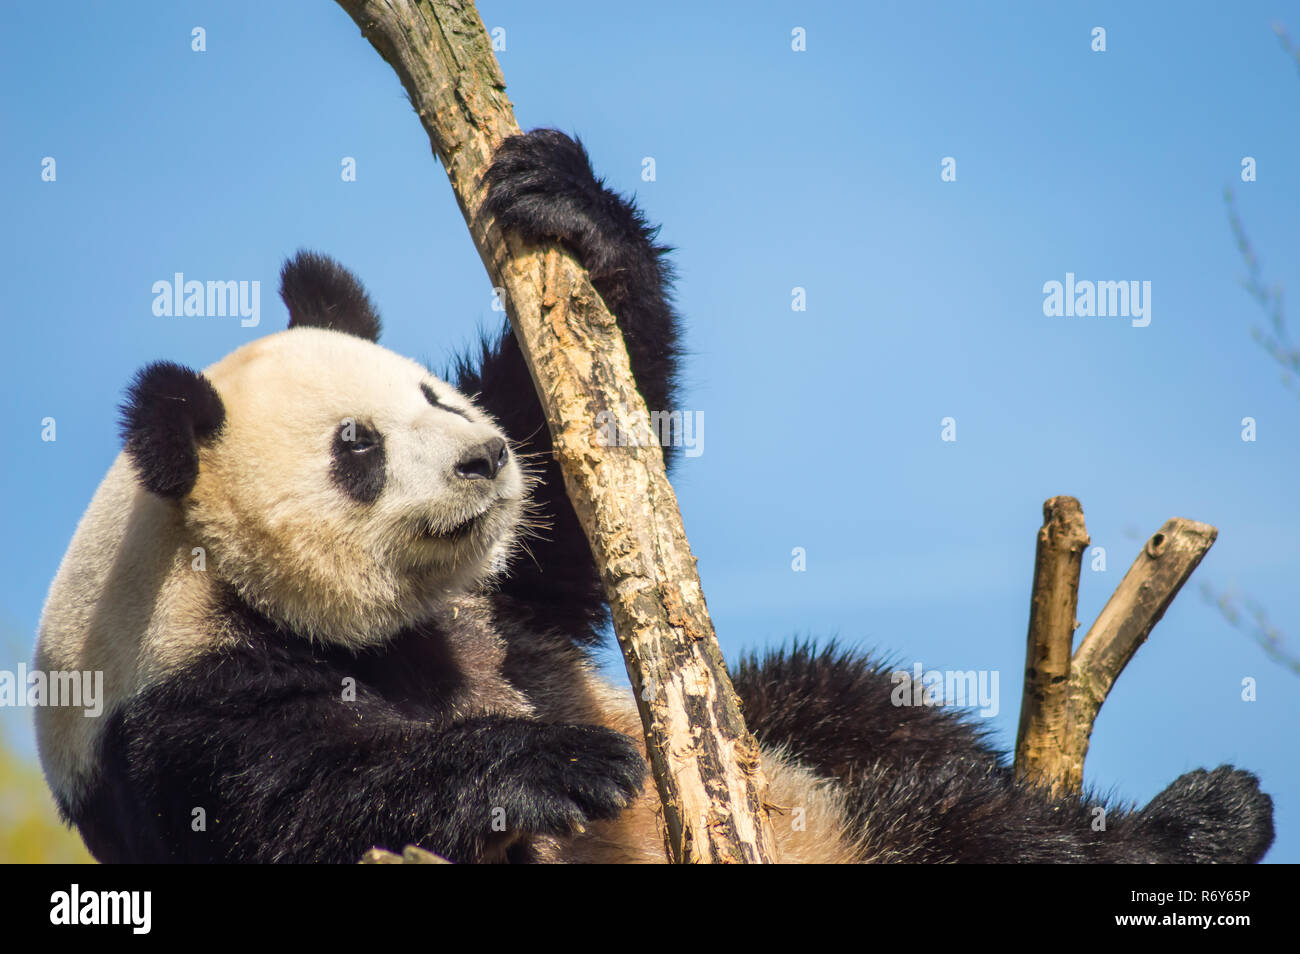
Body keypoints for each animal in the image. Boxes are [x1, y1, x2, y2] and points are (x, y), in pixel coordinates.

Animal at [35, 129, 1274, 864]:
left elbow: (571, 482)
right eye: (357, 446)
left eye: (431, 390)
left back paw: (1193, 822)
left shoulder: (503, 597)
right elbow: (301, 792)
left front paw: (566, 203)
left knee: (859, 710)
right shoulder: (177, 714)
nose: (483, 463)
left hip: (799, 755)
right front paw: (553, 768)